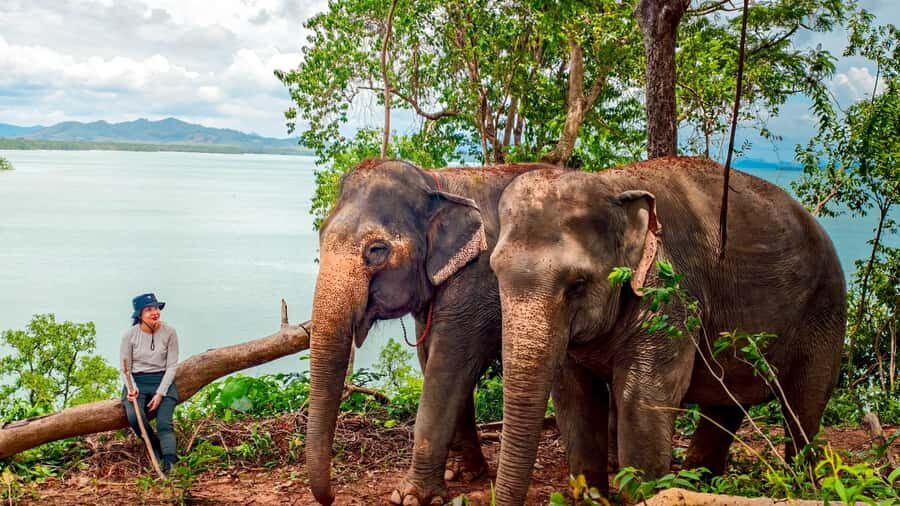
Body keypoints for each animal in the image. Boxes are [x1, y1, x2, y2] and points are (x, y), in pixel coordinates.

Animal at [306, 158, 559, 505]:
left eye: (376, 250)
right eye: (320, 236)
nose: (332, 497)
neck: (439, 182)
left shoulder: (477, 279)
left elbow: (448, 365)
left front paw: (411, 497)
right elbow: (433, 362)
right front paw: (464, 474)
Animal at [488, 156, 846, 505]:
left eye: (577, 284)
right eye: (494, 271)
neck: (612, 184)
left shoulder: (671, 291)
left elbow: (644, 398)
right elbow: (574, 398)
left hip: (825, 313)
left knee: (802, 409)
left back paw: (806, 487)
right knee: (727, 405)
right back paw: (702, 483)